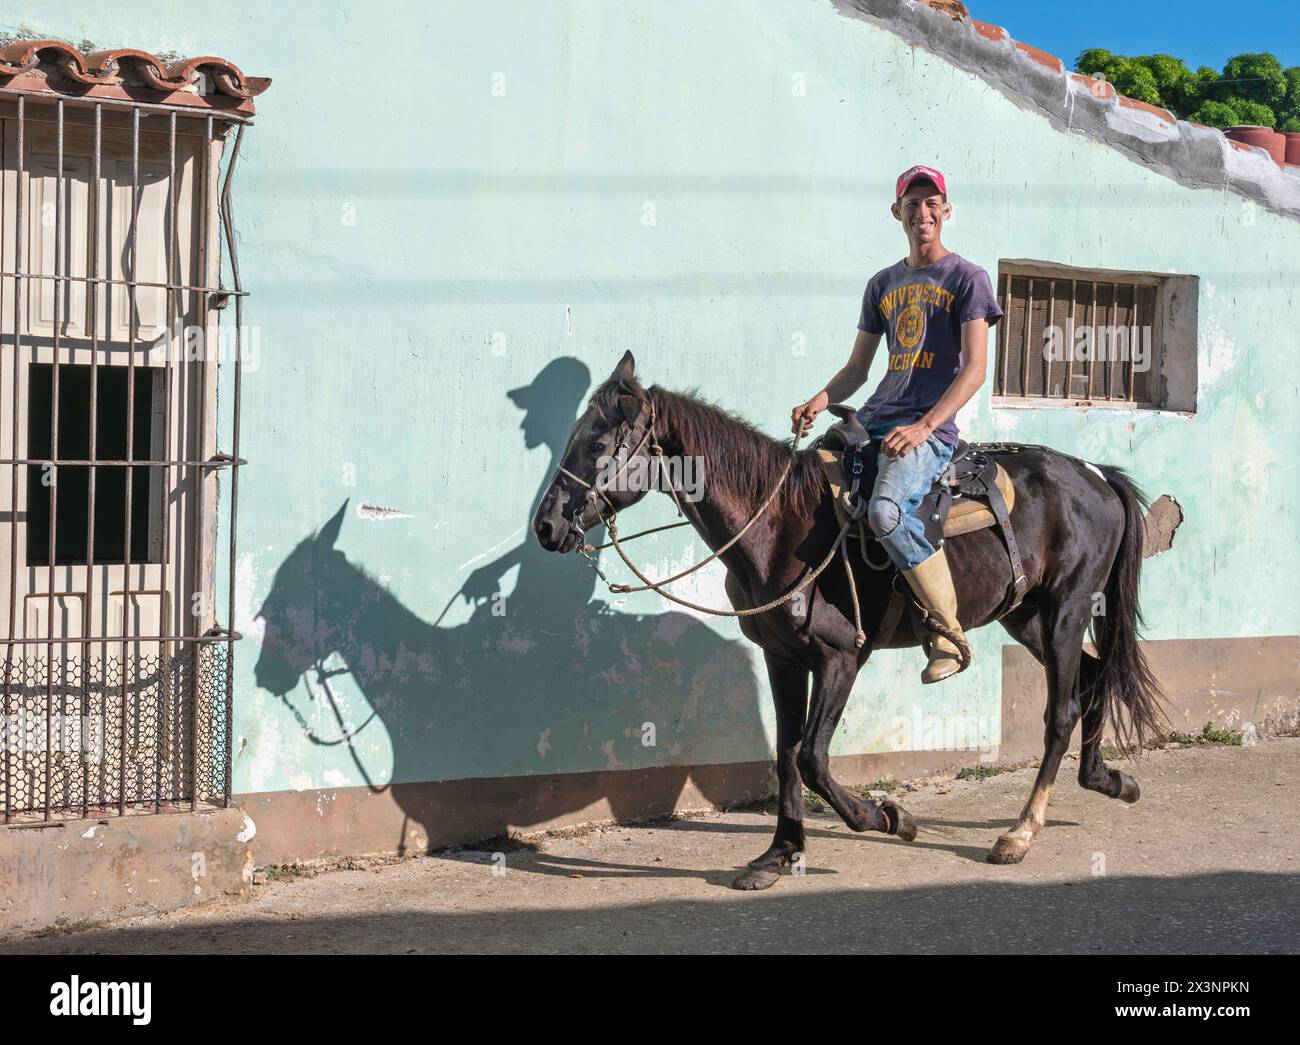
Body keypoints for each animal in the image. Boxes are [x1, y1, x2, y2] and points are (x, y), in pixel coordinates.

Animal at [532, 350, 1164, 889]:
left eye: (598, 440)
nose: (545, 526)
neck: (778, 526)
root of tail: (1096, 475)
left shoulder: (840, 657)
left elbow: (813, 758)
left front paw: (888, 817)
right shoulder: (783, 658)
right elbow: (786, 754)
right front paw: (780, 854)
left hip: (1067, 609)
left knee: (1061, 710)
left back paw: (1021, 831)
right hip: (1025, 616)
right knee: (1091, 678)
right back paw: (1108, 779)